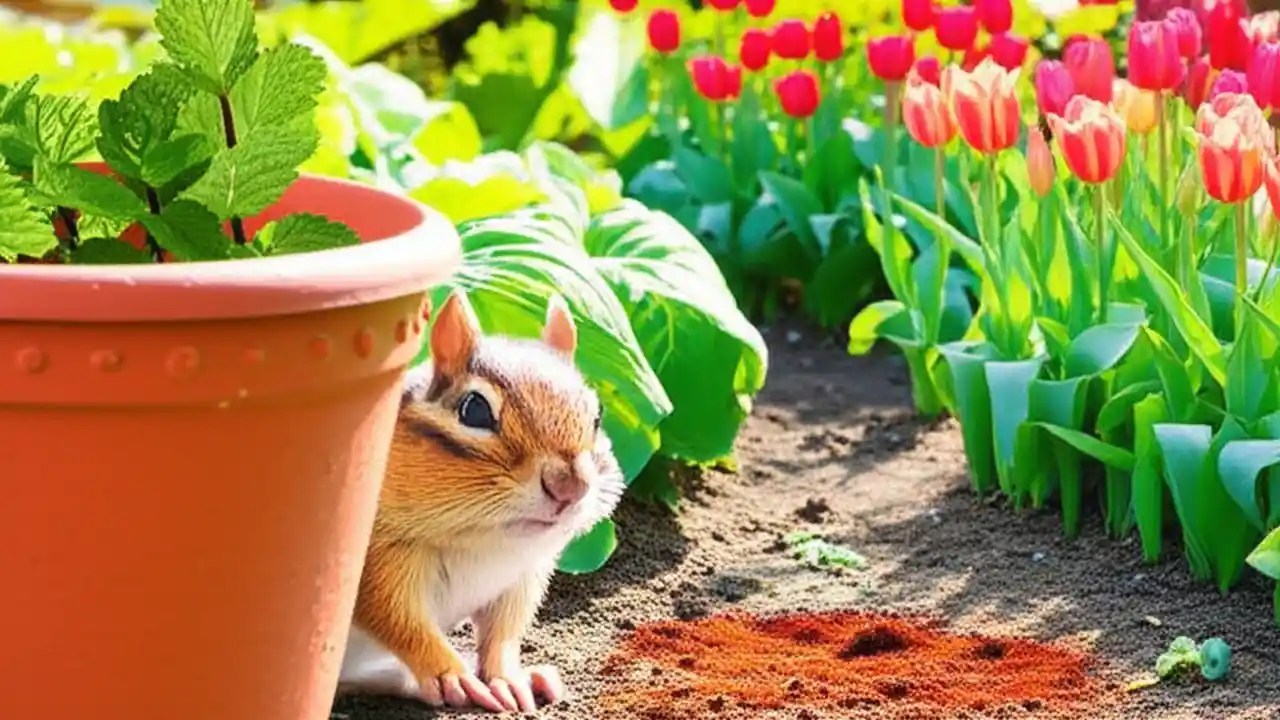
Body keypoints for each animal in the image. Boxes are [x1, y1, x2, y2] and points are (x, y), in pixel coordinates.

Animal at [336, 289, 626, 714]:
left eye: (597, 416)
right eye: (474, 409)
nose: (569, 487)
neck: (487, 543)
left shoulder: (522, 579)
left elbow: (502, 635)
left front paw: (510, 678)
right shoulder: (378, 566)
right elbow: (401, 622)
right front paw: (450, 673)